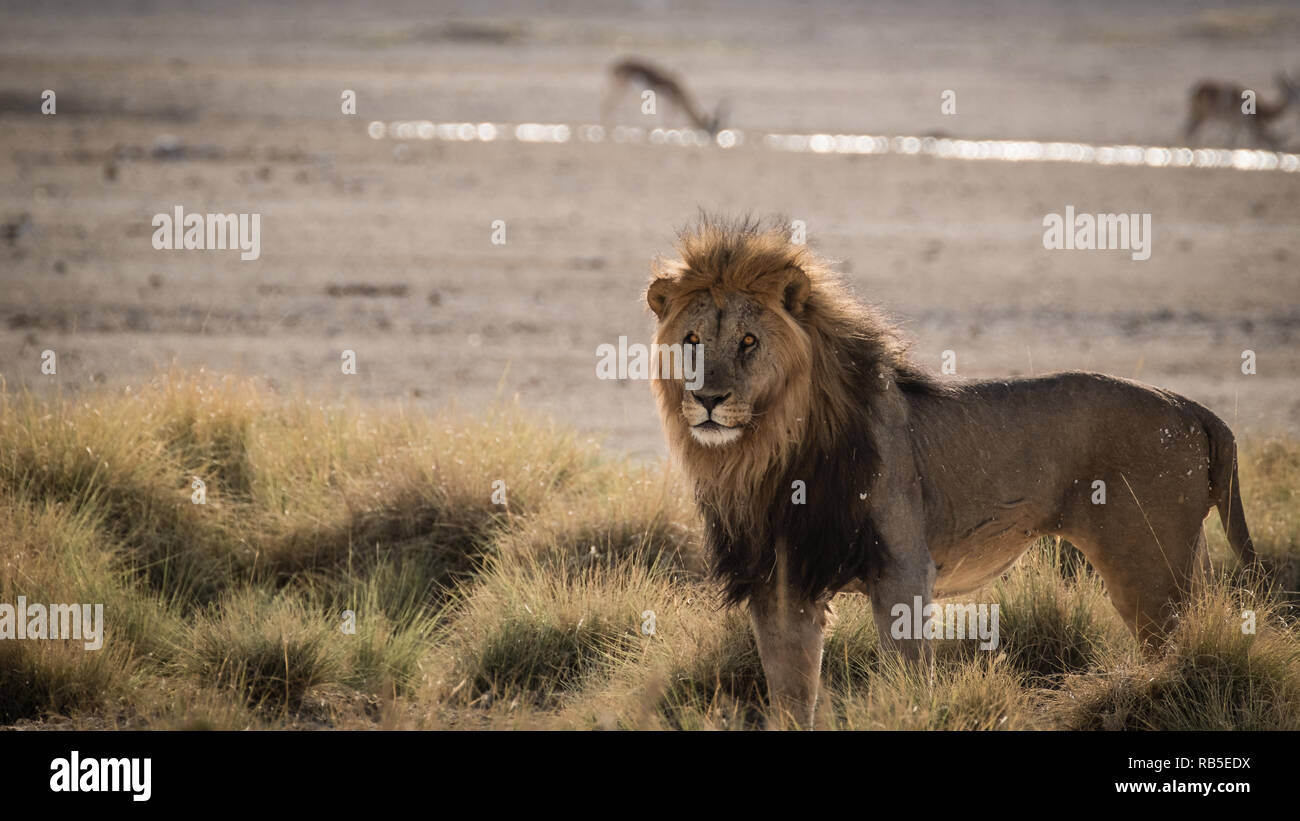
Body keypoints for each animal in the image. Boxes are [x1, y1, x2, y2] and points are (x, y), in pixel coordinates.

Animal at [646, 215, 1256, 728]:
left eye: (748, 341)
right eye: (691, 341)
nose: (707, 399)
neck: (766, 454)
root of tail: (1190, 408)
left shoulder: (902, 569)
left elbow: (908, 678)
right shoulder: (779, 582)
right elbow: (792, 696)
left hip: (1148, 568)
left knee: (1177, 649)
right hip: (1185, 558)